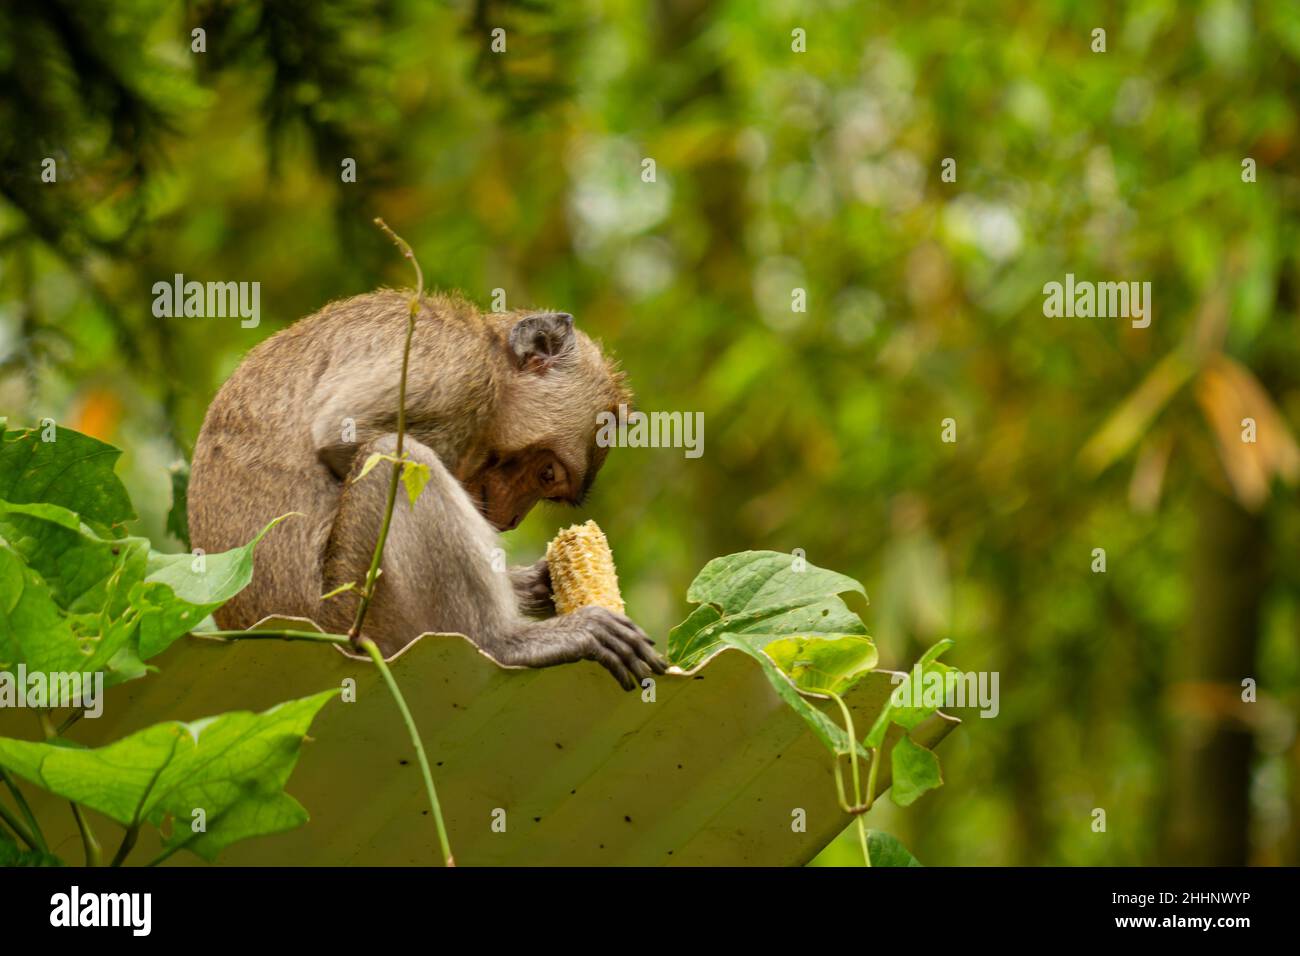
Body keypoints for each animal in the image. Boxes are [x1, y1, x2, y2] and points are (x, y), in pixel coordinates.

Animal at [188, 289, 666, 690]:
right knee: (396, 461)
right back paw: (500, 642)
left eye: (545, 486)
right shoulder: (460, 372)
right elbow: (343, 434)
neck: (491, 354)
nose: (511, 518)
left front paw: (530, 583)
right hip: (351, 612)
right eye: (547, 473)